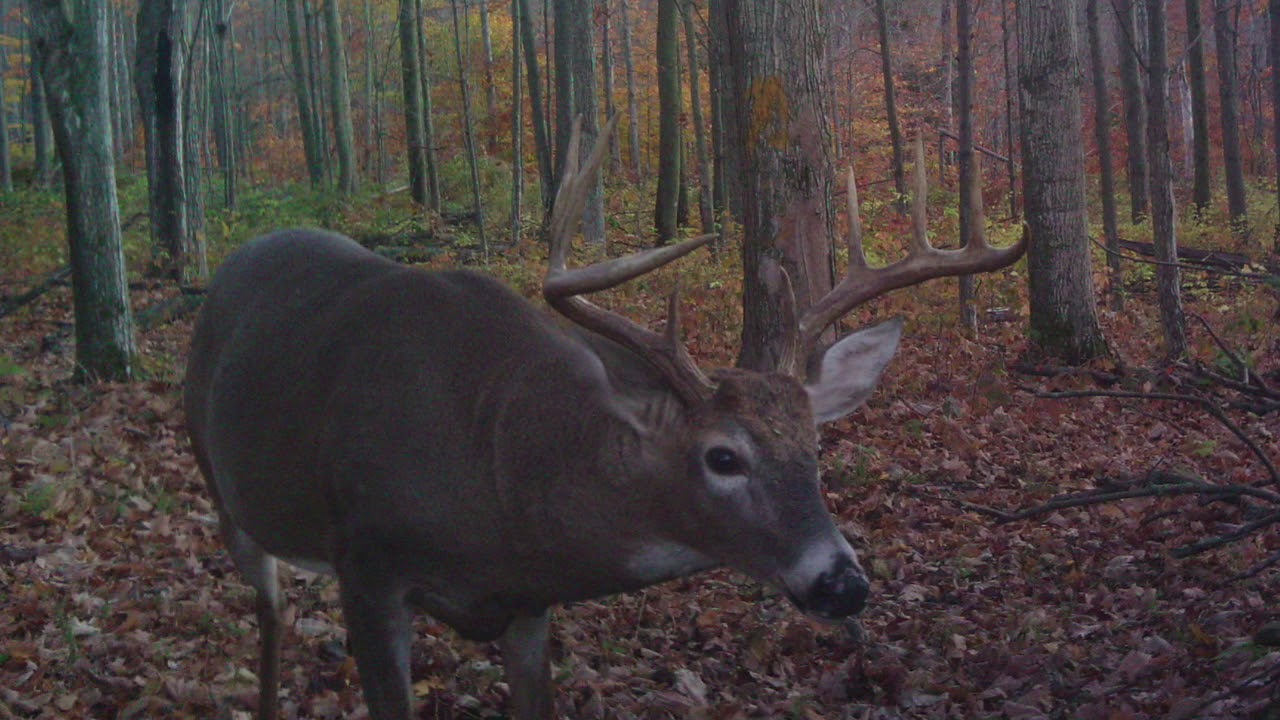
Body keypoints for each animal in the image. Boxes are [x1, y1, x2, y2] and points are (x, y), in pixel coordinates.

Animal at [183, 117, 1025, 720]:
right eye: (723, 456)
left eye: (815, 448)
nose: (843, 583)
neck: (497, 482)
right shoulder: (368, 569)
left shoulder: (527, 608)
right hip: (223, 484)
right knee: (268, 608)